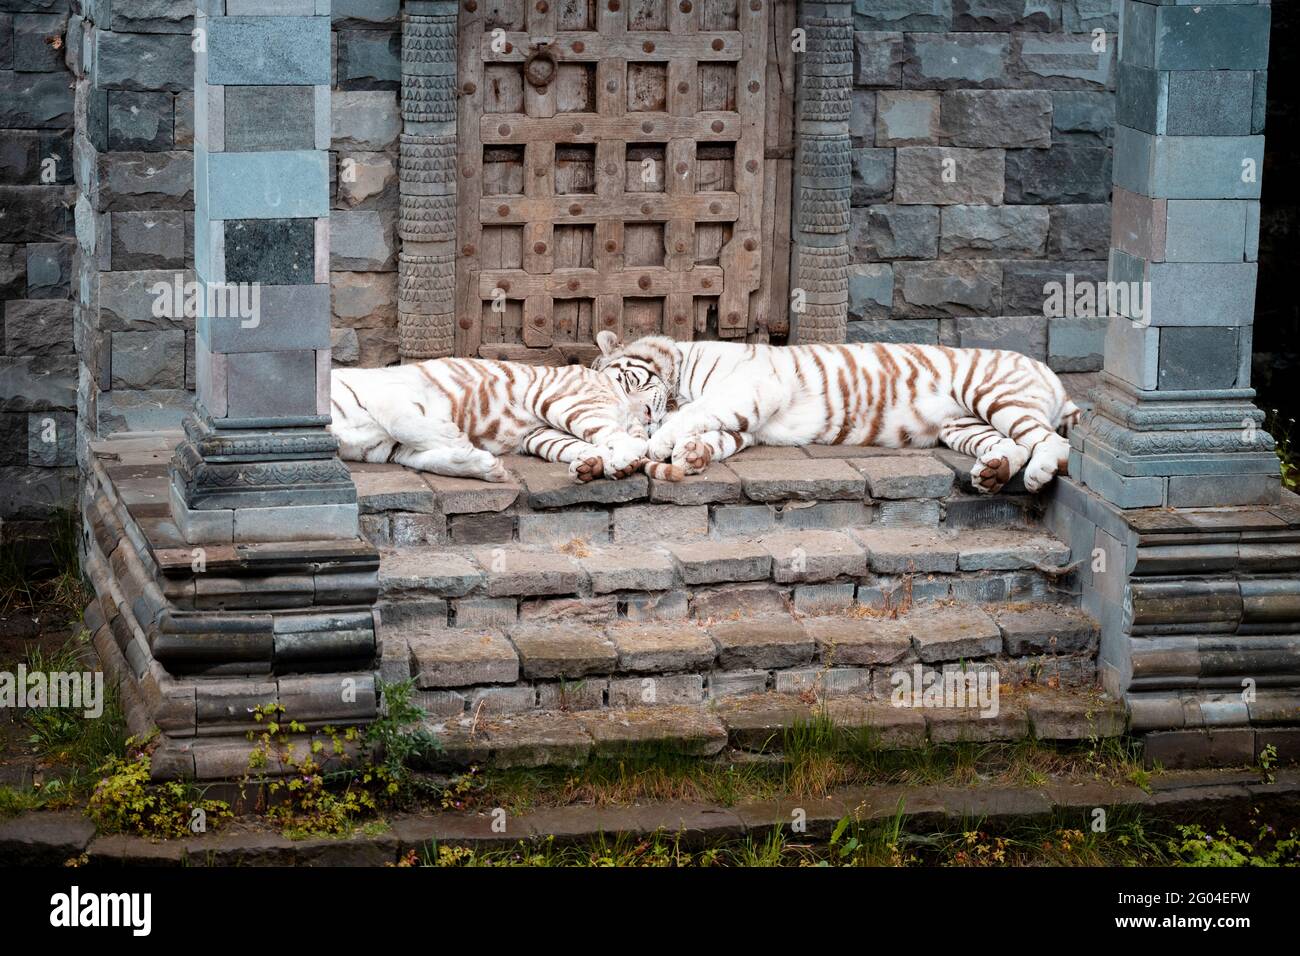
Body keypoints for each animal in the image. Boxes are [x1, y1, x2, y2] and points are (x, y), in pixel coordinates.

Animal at [329, 357, 684, 484]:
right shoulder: (393, 450)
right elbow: (431, 460)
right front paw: (485, 466)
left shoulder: (392, 395)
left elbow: (405, 424)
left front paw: (458, 439)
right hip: (545, 435)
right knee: (600, 445)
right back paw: (594, 466)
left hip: (564, 404)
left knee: (626, 440)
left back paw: (618, 462)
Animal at [590, 331, 1082, 494]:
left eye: (628, 384)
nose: (642, 418)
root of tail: (1050, 373)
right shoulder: (749, 421)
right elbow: (719, 435)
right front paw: (692, 455)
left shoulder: (750, 387)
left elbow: (693, 415)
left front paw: (659, 442)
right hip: (963, 424)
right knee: (1011, 446)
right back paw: (994, 474)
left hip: (992, 394)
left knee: (1052, 442)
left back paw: (1037, 475)